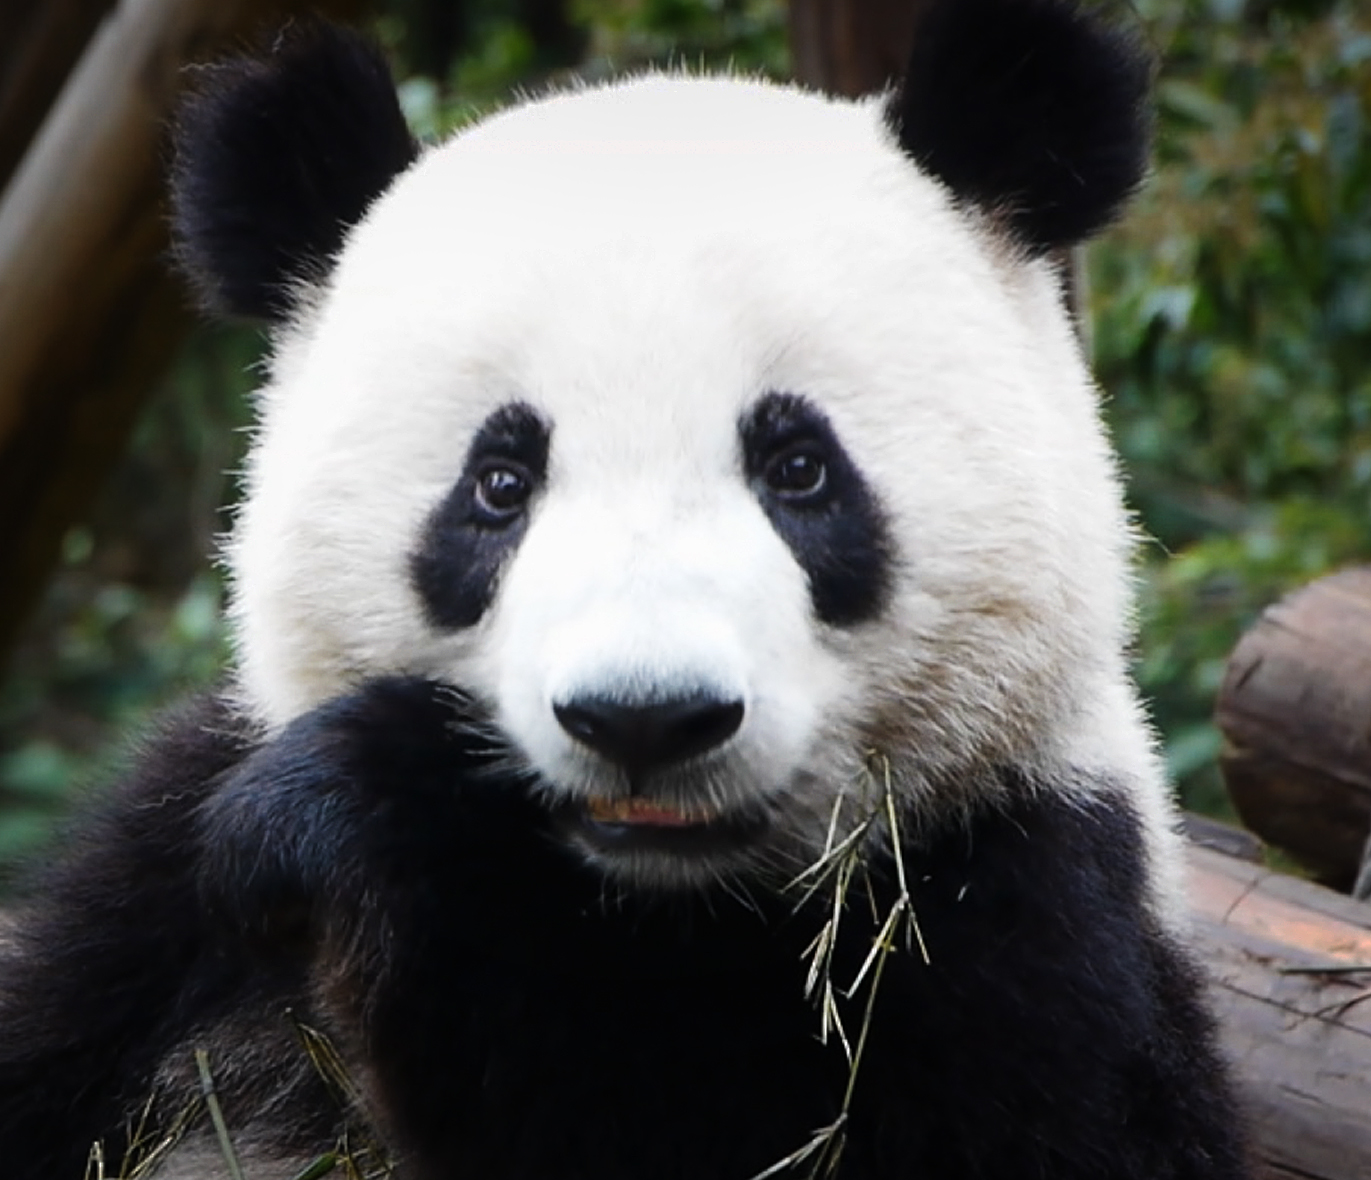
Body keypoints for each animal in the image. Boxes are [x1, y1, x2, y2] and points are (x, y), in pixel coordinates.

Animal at [0, 0, 1251, 1177]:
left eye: (799, 468)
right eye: (500, 484)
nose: (647, 717)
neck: (654, 897)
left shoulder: (1027, 911)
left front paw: (375, 810)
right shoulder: (152, 884)